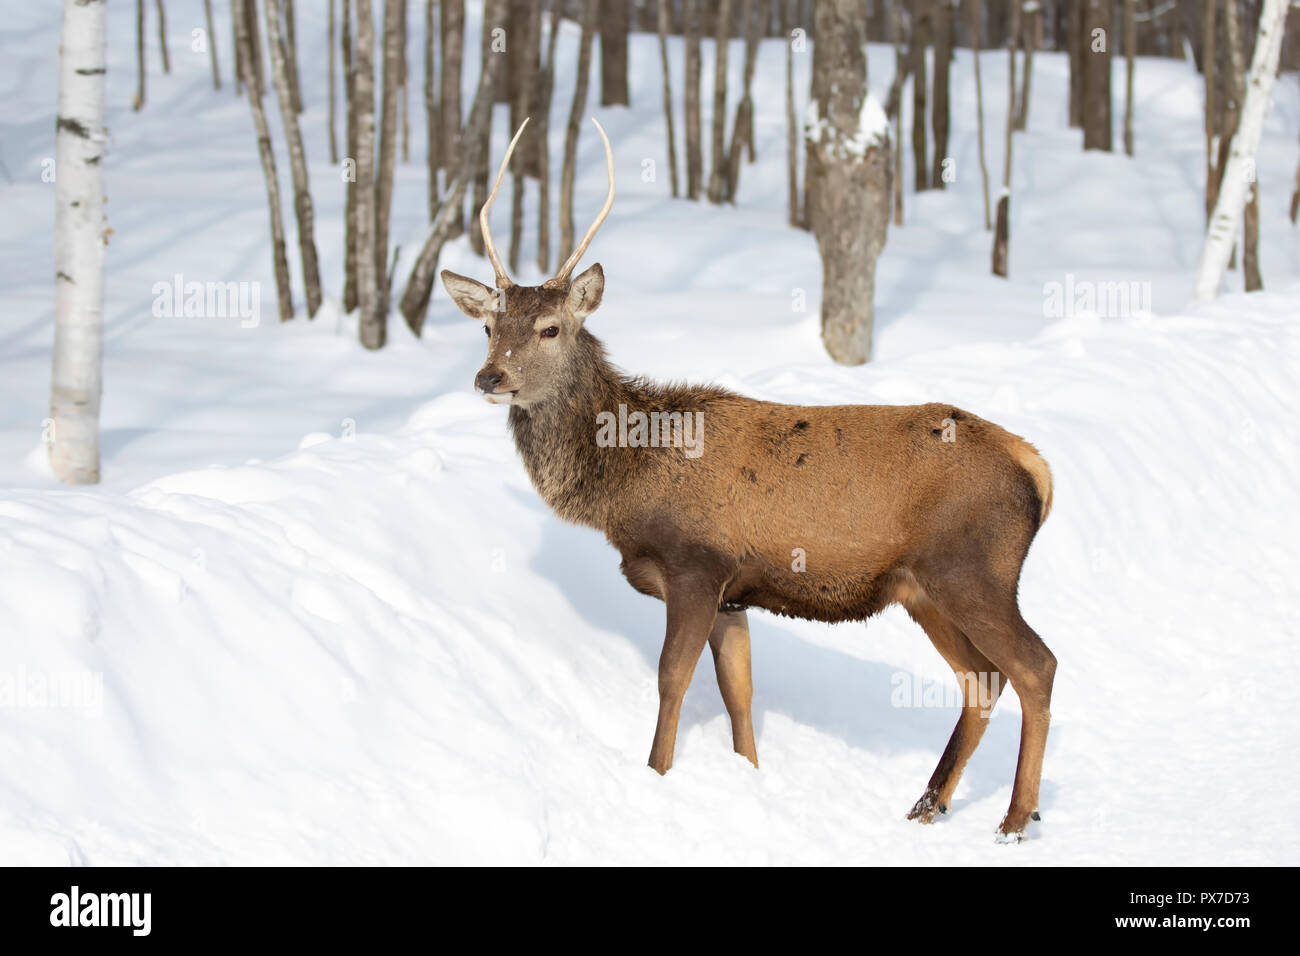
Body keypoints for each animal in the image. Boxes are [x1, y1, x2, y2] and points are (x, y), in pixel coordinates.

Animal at [441, 118, 1057, 842]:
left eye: (550, 327)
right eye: (488, 326)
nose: (490, 377)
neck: (625, 488)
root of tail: (1037, 468)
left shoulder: (696, 565)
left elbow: (672, 681)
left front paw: (656, 774)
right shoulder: (734, 594)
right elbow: (739, 694)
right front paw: (750, 778)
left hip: (975, 570)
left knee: (1035, 666)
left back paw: (1015, 816)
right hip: (924, 589)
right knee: (982, 678)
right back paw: (929, 802)